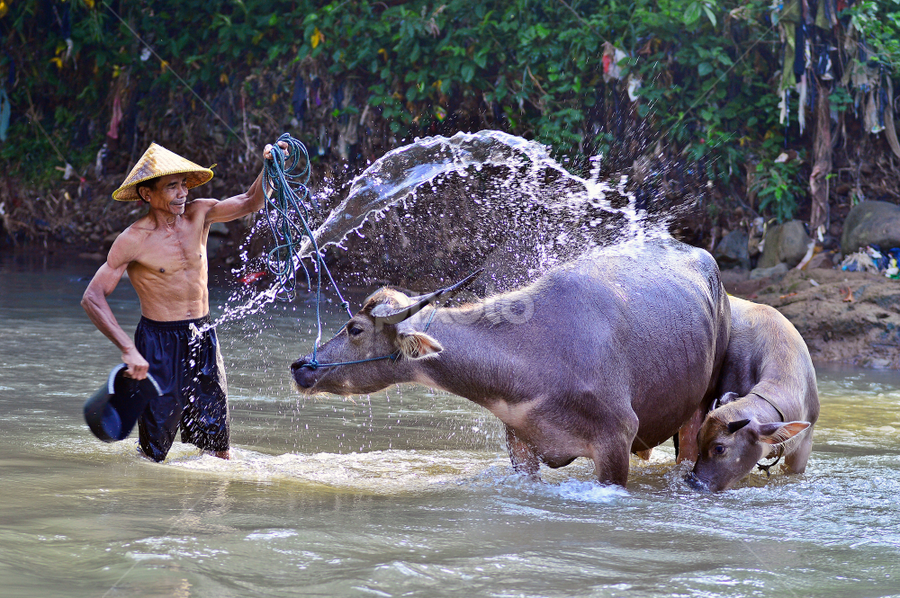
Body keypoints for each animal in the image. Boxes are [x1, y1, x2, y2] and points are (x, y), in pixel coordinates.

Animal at [294, 239, 732, 488]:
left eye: (354, 328)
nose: (300, 366)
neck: (535, 358)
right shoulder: (520, 445)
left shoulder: (615, 444)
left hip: (702, 402)